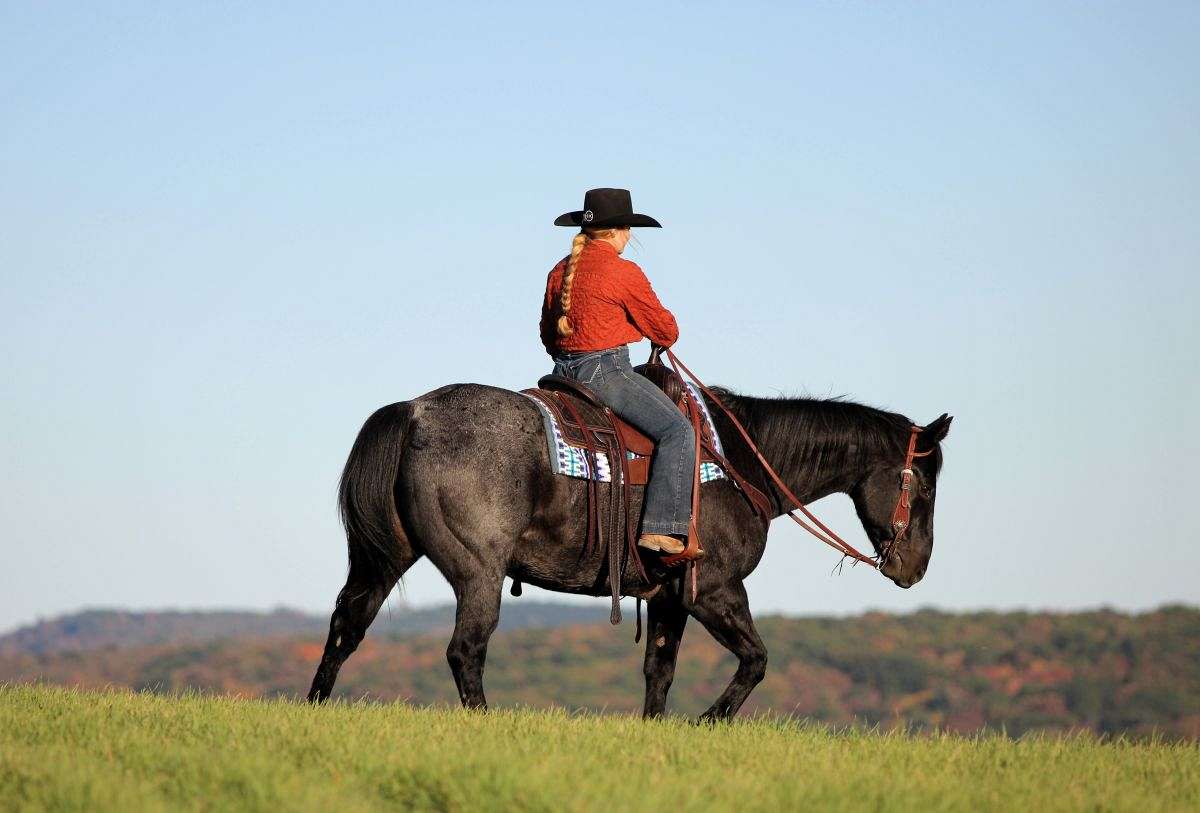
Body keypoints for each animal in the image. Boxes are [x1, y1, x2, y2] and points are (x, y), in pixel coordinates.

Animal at [306, 366, 952, 721]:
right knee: (466, 649)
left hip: (382, 559)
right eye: (922, 483)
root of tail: (413, 413)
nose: (915, 567)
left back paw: (315, 704)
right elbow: (756, 660)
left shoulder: (669, 597)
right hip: (478, 572)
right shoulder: (714, 590)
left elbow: (658, 671)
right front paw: (707, 721)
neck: (739, 462)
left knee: (347, 626)